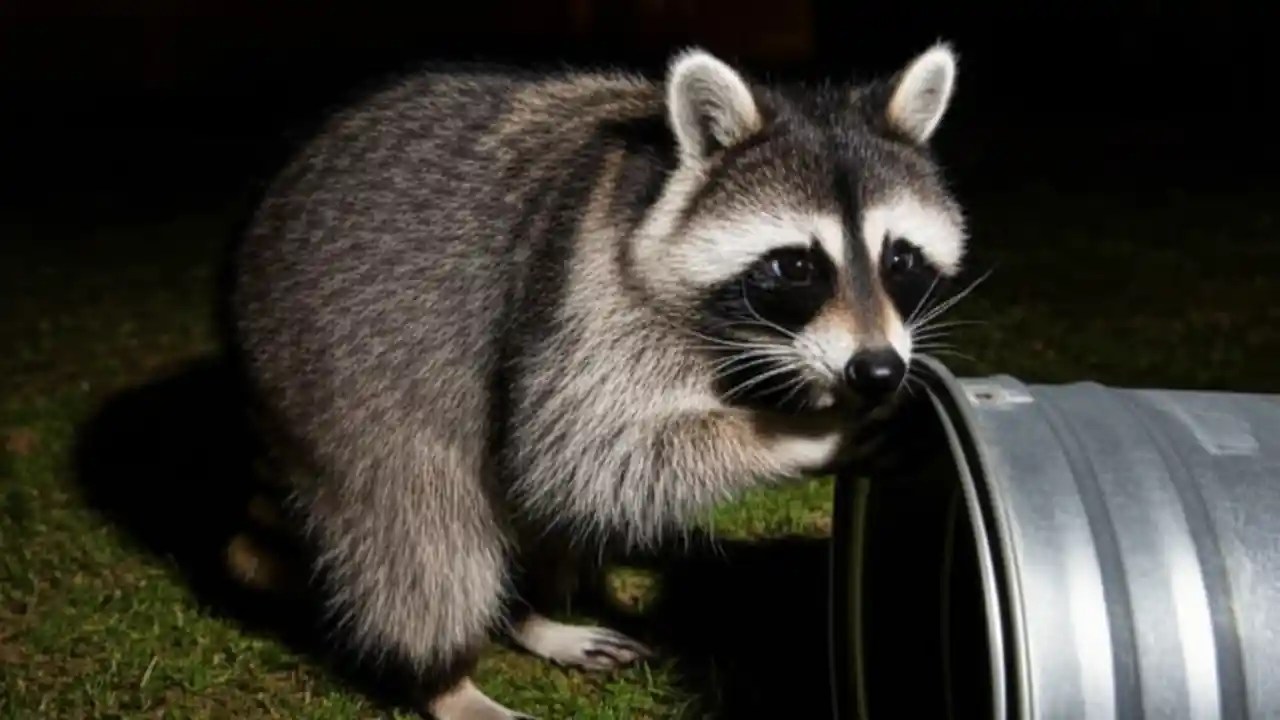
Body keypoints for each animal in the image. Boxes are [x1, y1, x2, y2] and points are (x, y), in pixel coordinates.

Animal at [229, 42, 967, 718]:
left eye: (900, 258)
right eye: (796, 267)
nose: (877, 368)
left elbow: (572, 474)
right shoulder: (585, 288)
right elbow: (578, 451)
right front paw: (810, 431)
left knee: (534, 503)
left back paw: (532, 615)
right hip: (333, 357)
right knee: (423, 522)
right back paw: (445, 682)